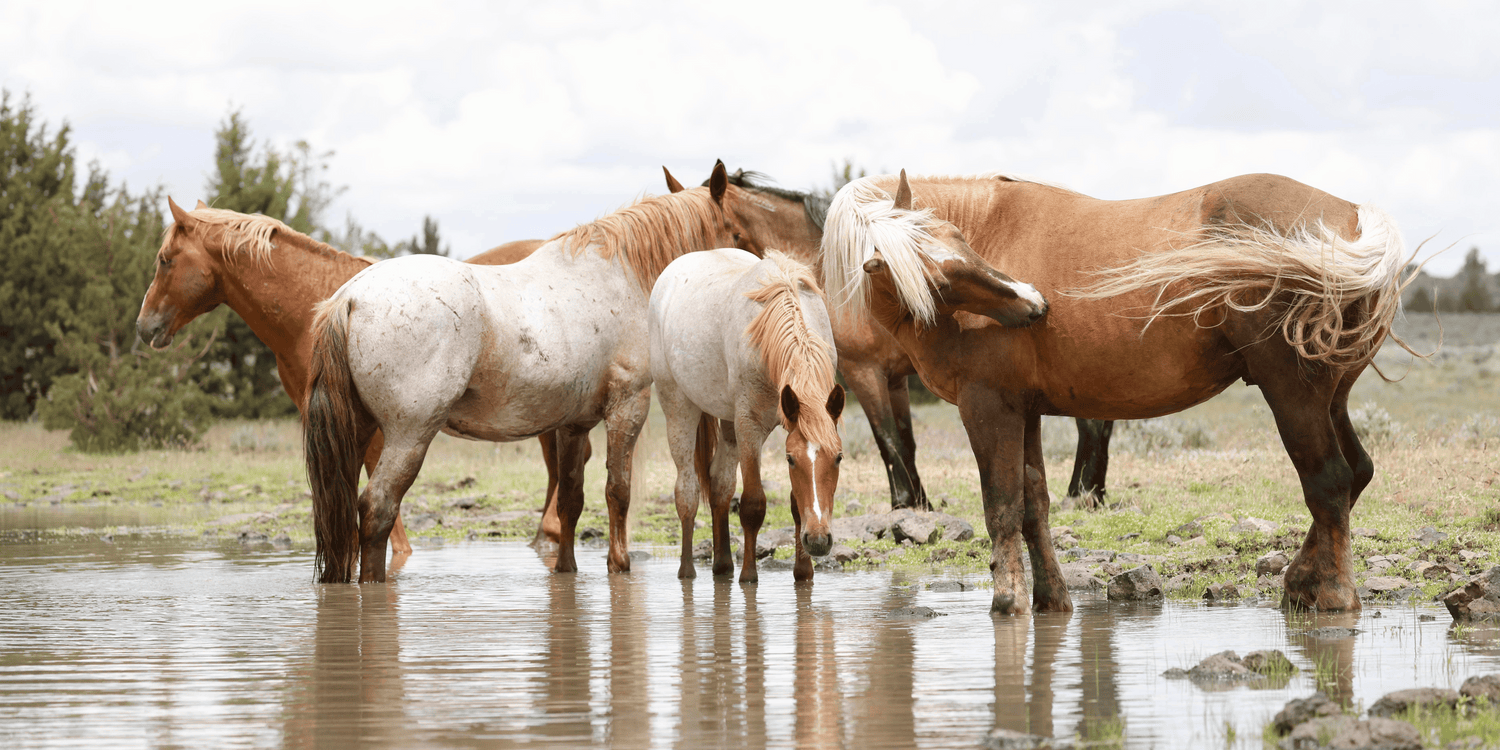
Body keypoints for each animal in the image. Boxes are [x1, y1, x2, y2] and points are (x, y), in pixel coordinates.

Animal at [303, 162, 785, 583]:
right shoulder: (628, 405)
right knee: (377, 510)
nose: (754, 278)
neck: (621, 277)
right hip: (409, 436)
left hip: (360, 434)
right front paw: (619, 564)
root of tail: (349, 298)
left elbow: (571, 497)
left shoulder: (573, 424)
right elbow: (618, 490)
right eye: (736, 232)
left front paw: (566, 568)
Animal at [650, 249, 845, 583]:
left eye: (839, 457)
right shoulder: (749, 427)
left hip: (727, 424)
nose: (819, 540)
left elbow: (796, 504)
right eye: (790, 460)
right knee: (687, 491)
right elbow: (753, 504)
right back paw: (688, 570)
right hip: (679, 408)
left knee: (720, 486)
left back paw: (722, 565)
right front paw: (748, 576)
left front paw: (803, 571)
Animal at [823, 170, 1416, 615]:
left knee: (1329, 483)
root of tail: (1351, 216)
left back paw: (1333, 594)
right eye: (941, 277)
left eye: (962, 245)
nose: (1034, 304)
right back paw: (1301, 581)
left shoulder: (987, 408)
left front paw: (1008, 602)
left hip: (1294, 396)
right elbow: (1034, 506)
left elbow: (1003, 508)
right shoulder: (1025, 411)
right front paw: (1051, 599)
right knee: (1356, 473)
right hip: (1332, 399)